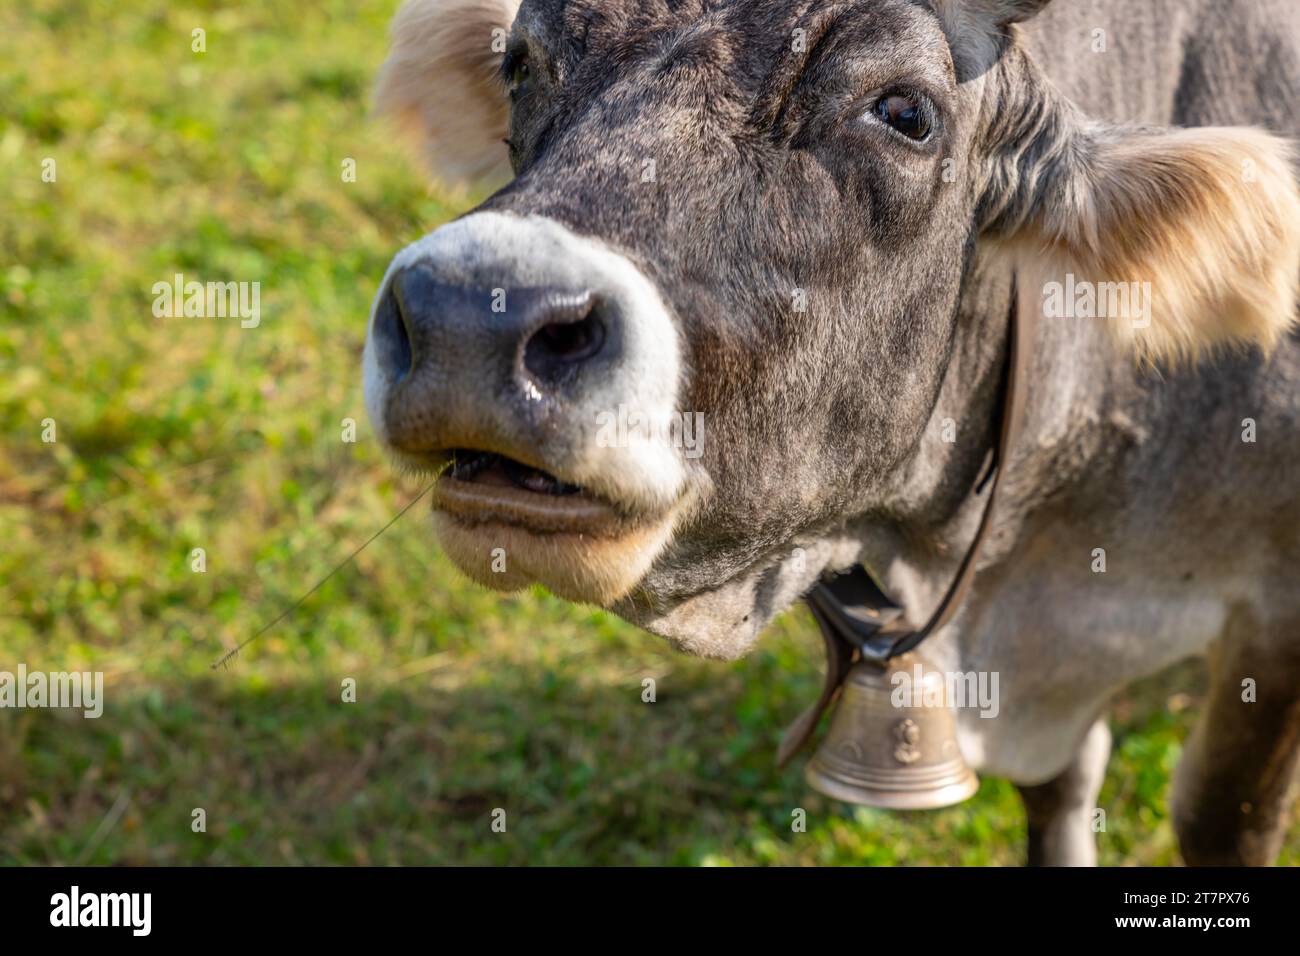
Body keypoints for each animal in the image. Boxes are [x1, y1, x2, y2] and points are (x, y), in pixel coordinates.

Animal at [364, 0, 1300, 865]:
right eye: (519, 65)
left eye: (905, 112)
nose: (471, 316)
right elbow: (1060, 790)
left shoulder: (1272, 618)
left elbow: (1217, 817)